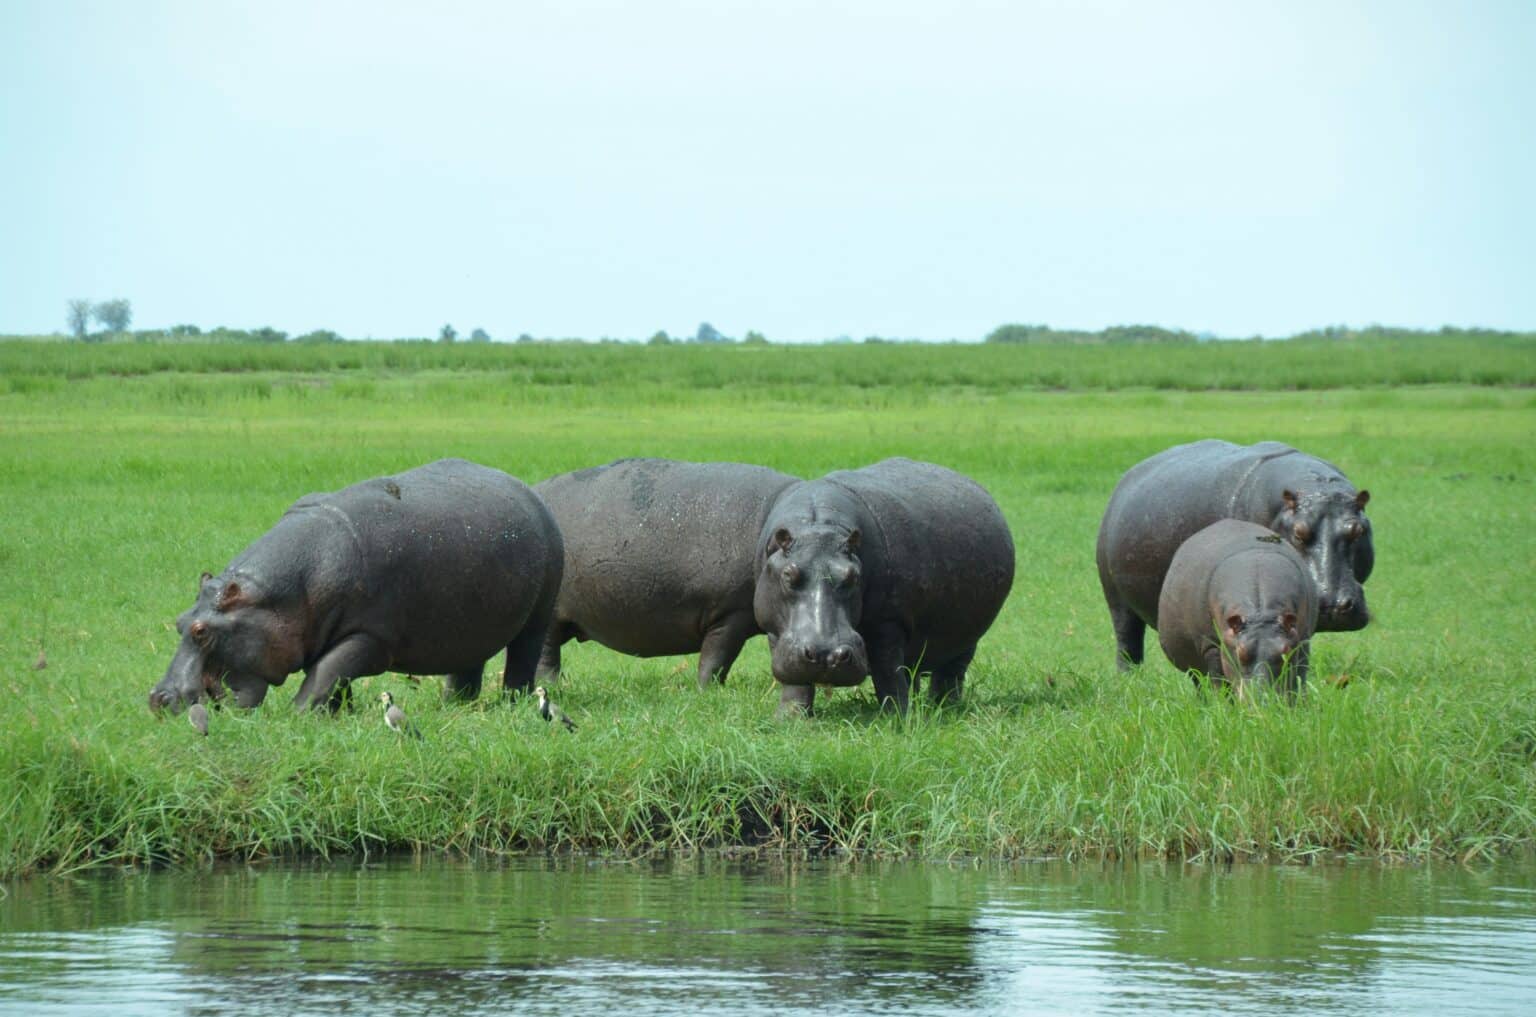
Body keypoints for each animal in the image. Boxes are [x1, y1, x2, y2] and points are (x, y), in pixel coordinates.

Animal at [148, 458, 563, 713]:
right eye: (179, 621)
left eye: (201, 631)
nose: (158, 698)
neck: (274, 597)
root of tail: (531, 494)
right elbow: (336, 679)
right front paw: (338, 715)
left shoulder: (370, 637)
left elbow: (325, 674)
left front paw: (298, 716)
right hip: (472, 621)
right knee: (467, 666)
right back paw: (453, 706)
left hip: (536, 618)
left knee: (522, 659)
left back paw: (511, 703)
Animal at [534, 458, 800, 688]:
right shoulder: (731, 614)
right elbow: (716, 658)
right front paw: (708, 691)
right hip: (552, 617)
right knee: (546, 655)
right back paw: (550, 685)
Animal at [753, 457, 1015, 716]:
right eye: (788, 575)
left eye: (853, 576)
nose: (826, 654)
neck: (819, 526)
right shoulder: (777, 631)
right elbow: (795, 682)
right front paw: (789, 720)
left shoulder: (888, 622)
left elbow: (887, 673)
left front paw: (896, 718)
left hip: (968, 637)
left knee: (950, 673)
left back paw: (943, 709)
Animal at [1096, 440, 1372, 669]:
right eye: (1298, 532)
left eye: (1359, 530)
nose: (1332, 605)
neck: (1314, 488)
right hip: (1116, 598)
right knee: (1127, 643)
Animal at [1157, 520, 1319, 696]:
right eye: (1240, 653)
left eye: (1285, 652)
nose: (1262, 698)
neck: (1260, 614)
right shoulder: (1212, 646)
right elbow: (1219, 683)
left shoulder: (1301, 640)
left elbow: (1298, 680)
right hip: (1193, 666)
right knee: (1200, 683)